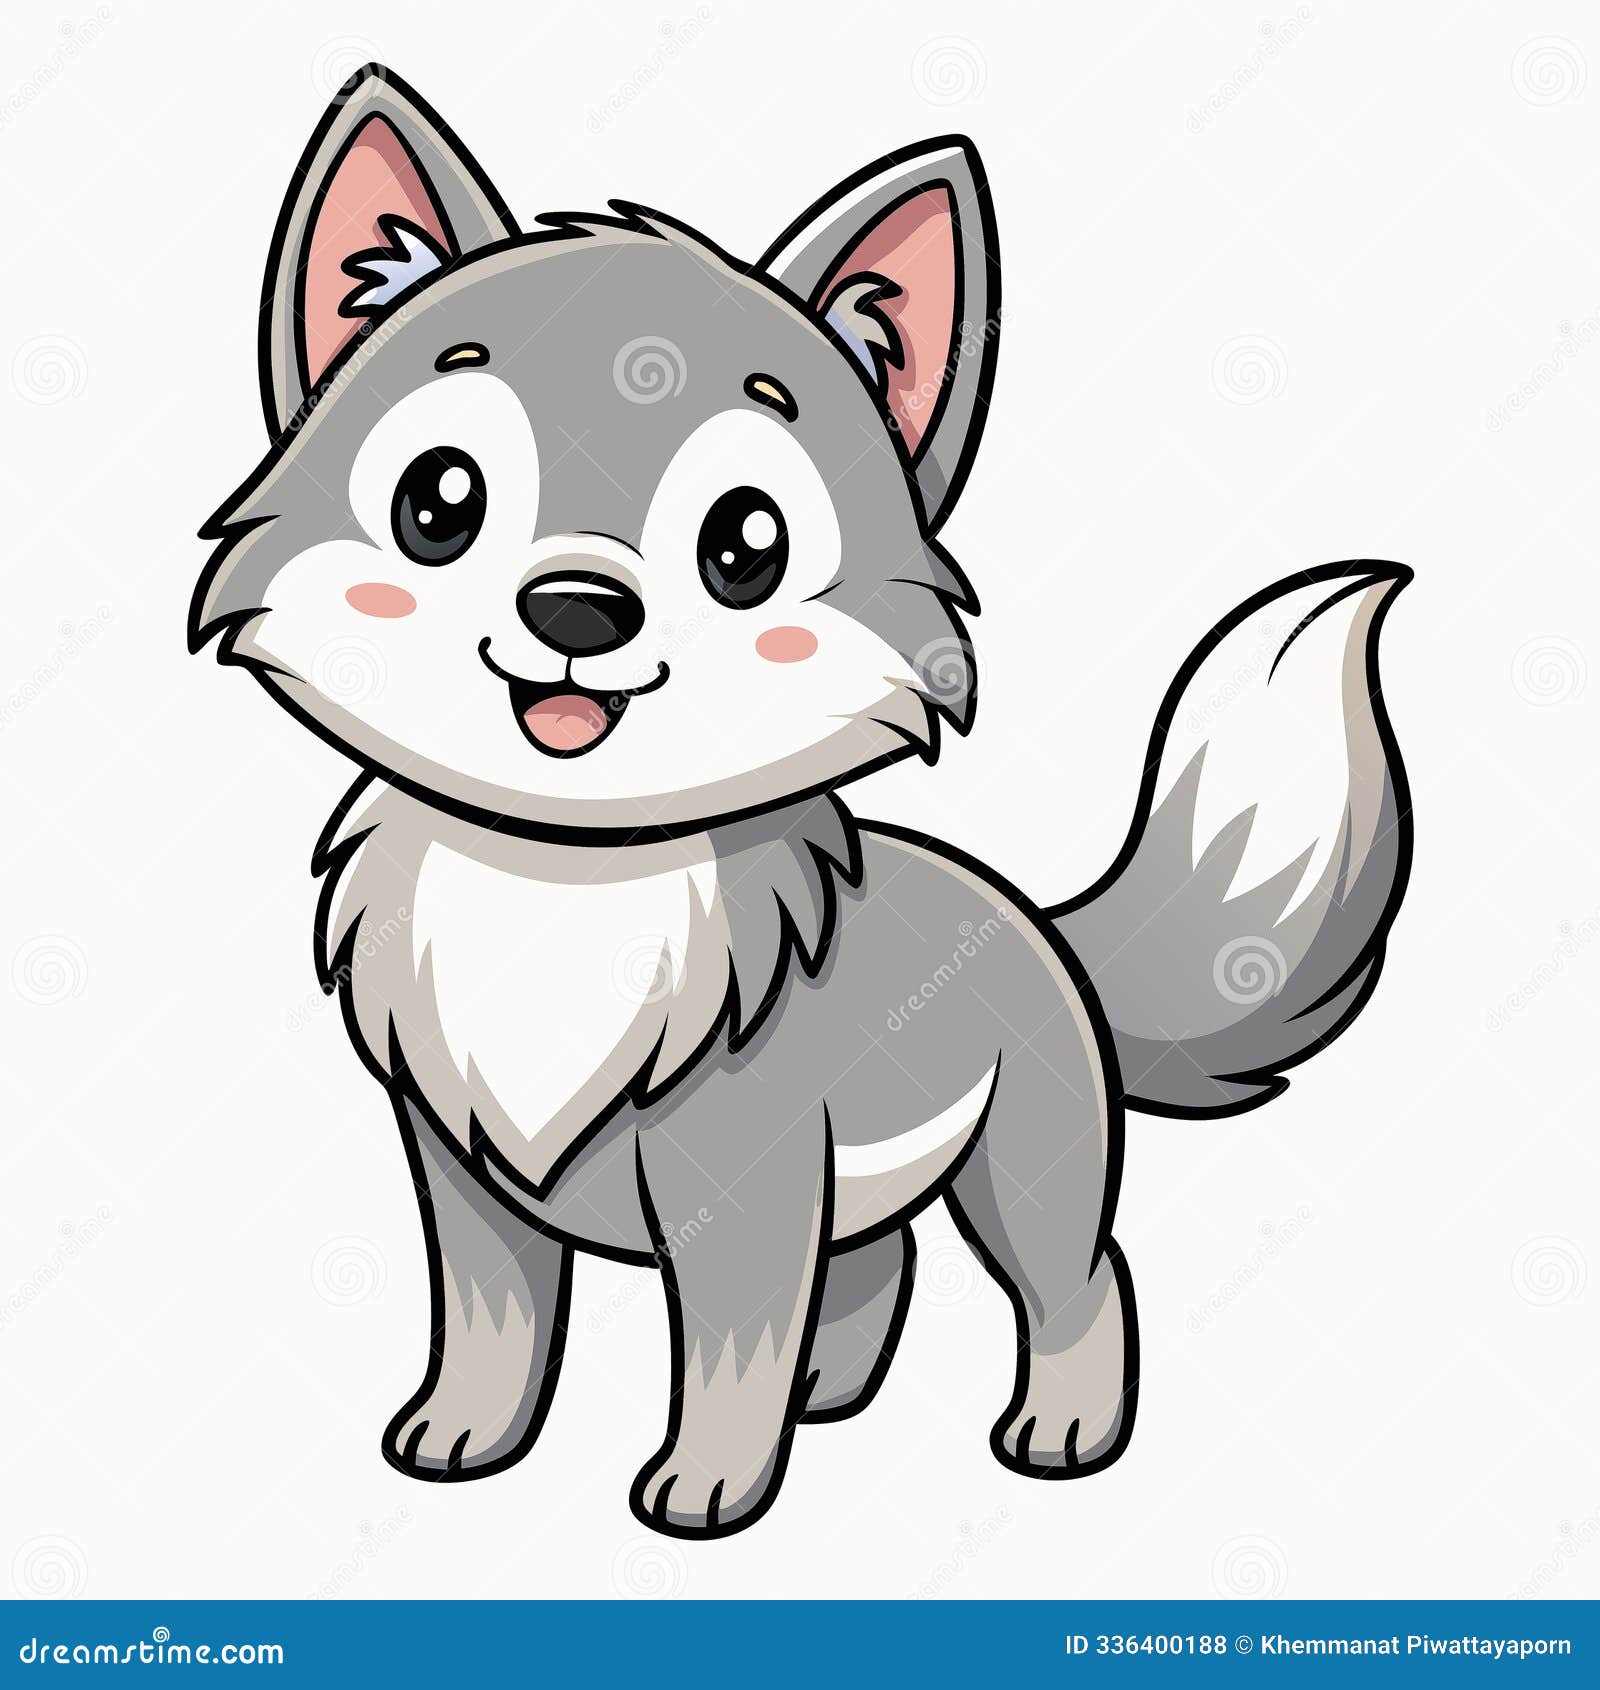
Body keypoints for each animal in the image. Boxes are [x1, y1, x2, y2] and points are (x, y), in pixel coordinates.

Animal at [191, 66, 1412, 1538]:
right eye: (439, 502)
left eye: (745, 544)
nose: (579, 608)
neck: (560, 884)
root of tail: (1030, 912)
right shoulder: (465, 1167)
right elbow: (498, 1321)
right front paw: (463, 1437)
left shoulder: (743, 1183)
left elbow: (729, 1342)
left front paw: (708, 1485)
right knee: (879, 1263)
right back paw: (832, 1398)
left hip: (1024, 1170)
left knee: (1080, 1280)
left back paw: (1062, 1431)